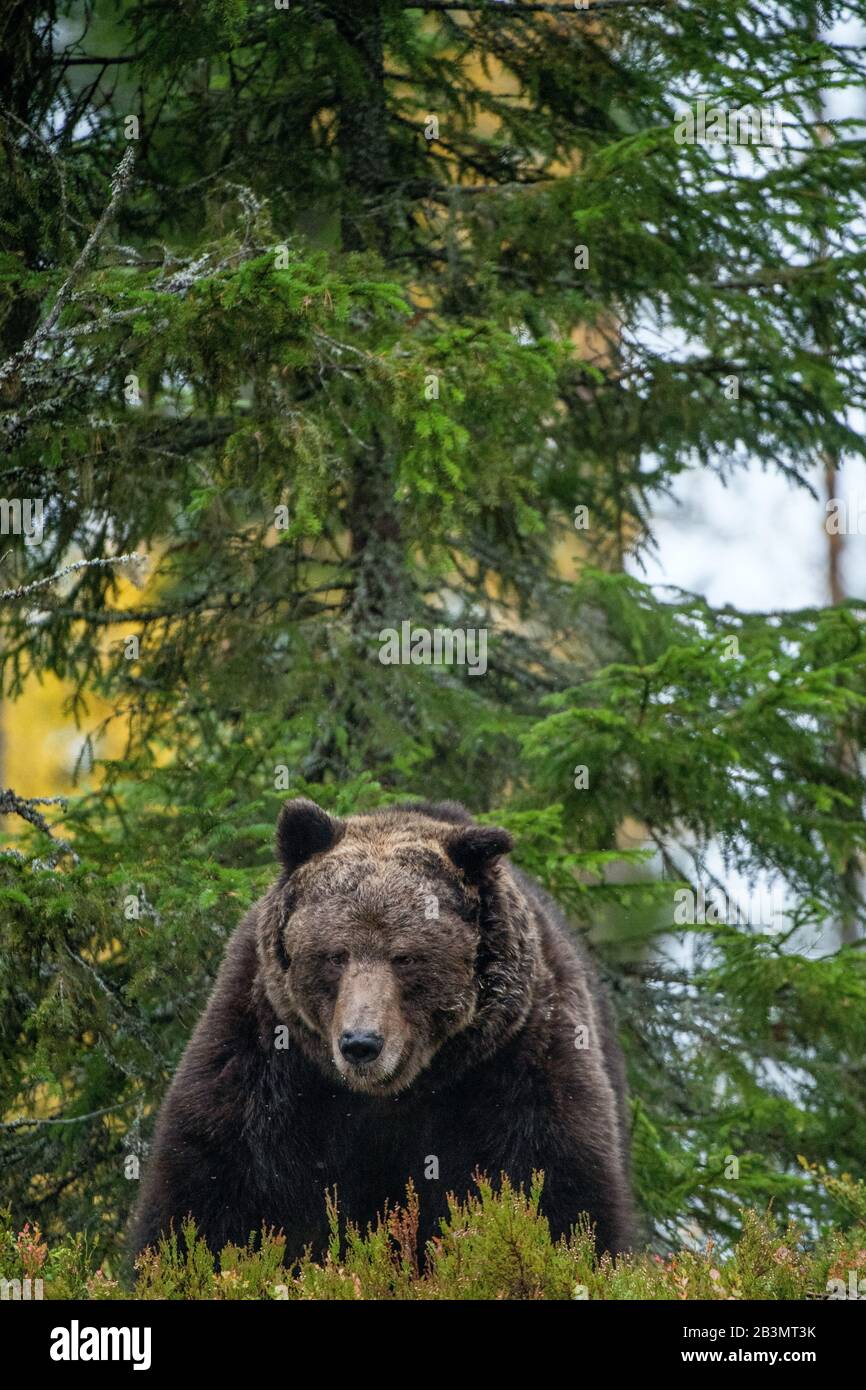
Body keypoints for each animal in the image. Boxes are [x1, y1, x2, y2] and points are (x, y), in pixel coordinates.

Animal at [131, 798, 635, 1262]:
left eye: (405, 956)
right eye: (335, 954)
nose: (360, 1043)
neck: (393, 1096)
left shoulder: (514, 1065)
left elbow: (554, 1193)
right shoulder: (265, 1061)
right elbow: (211, 1193)